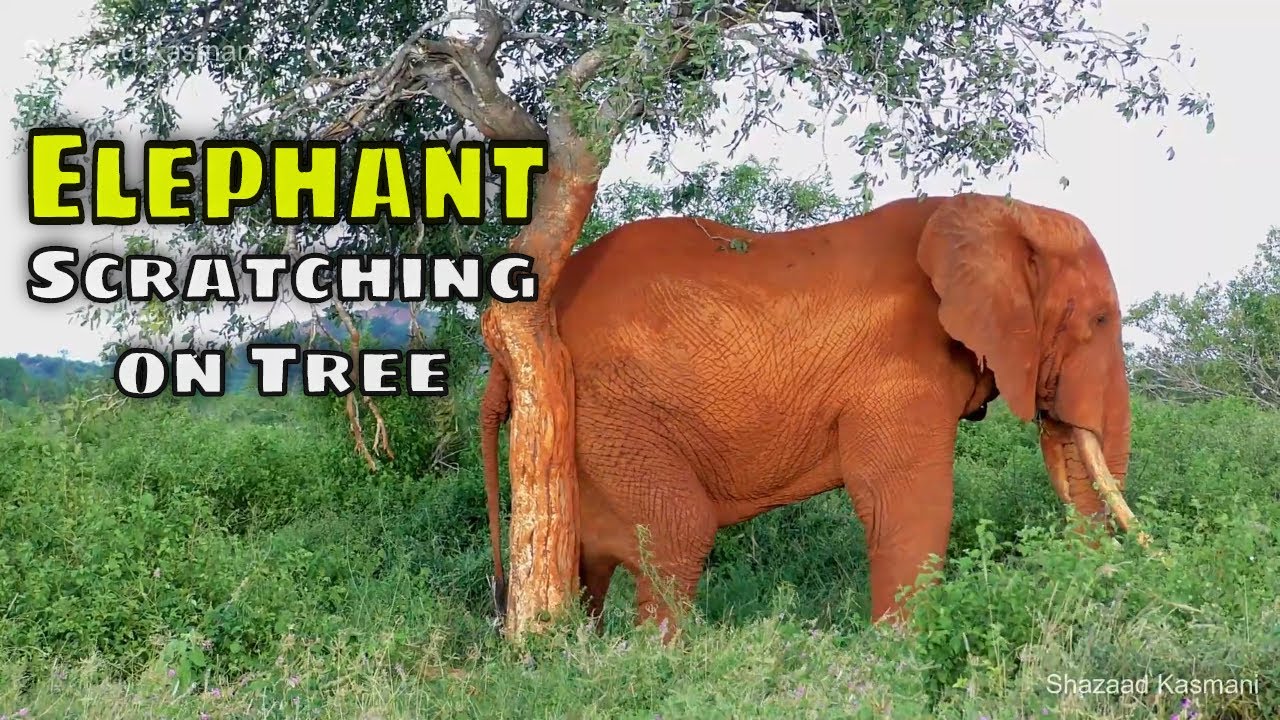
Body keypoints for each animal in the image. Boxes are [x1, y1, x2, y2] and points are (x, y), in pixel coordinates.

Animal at [480, 192, 1137, 637]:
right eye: (1101, 320)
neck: (1001, 212)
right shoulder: (898, 372)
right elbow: (908, 503)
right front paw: (900, 654)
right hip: (612, 408)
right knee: (680, 528)